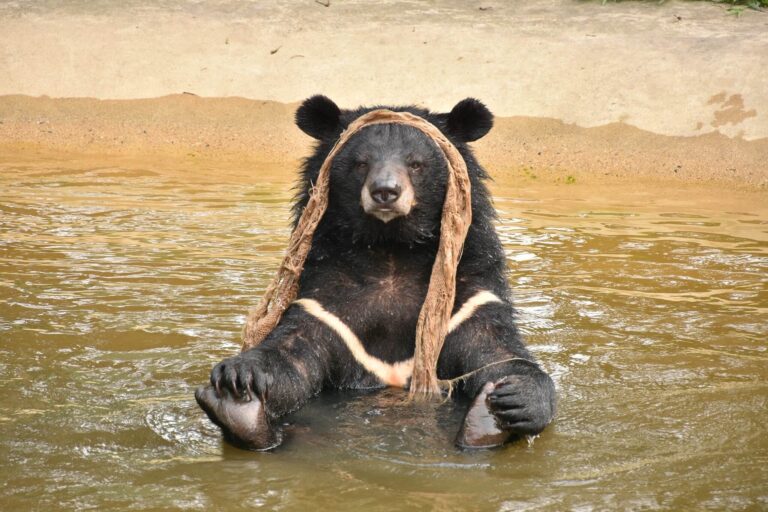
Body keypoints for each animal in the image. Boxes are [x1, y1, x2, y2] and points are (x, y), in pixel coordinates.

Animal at [195, 95, 556, 450]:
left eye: (416, 164)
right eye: (361, 163)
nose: (385, 191)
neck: (391, 248)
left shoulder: (469, 297)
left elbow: (496, 352)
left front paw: (514, 396)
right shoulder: (325, 302)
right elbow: (292, 355)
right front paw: (237, 378)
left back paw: (483, 423)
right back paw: (243, 416)